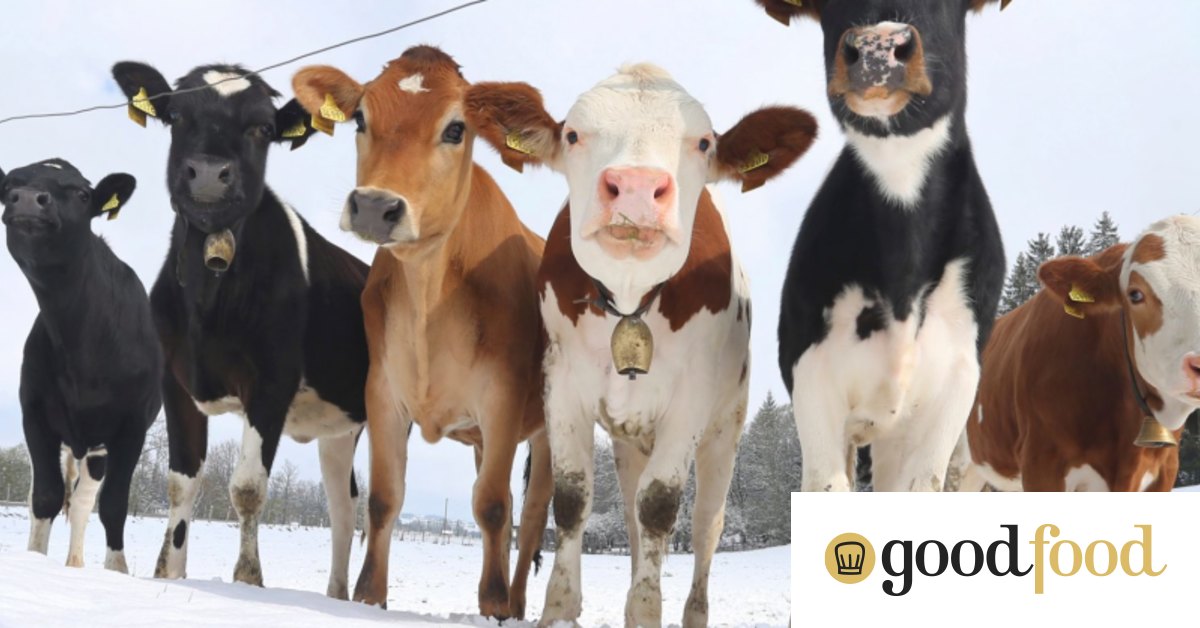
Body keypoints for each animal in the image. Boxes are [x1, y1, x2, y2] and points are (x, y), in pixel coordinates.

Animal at [2, 159, 160, 573]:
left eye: (82, 194)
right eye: (9, 185)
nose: (27, 199)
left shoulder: (129, 426)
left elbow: (112, 505)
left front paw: (115, 571)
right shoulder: (35, 413)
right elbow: (45, 497)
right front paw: (35, 562)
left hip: (96, 446)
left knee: (84, 503)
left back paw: (76, 563)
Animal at [110, 62, 369, 597]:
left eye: (263, 129)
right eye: (176, 115)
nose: (210, 172)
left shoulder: (271, 382)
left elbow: (247, 487)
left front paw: (248, 579)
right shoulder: (176, 382)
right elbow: (182, 481)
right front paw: (169, 571)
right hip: (339, 428)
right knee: (344, 506)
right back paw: (336, 594)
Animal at [291, 46, 553, 619]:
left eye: (456, 129)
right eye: (360, 119)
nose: (375, 206)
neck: (431, 293)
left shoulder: (502, 397)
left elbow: (493, 505)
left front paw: (494, 608)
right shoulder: (383, 392)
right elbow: (385, 498)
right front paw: (369, 597)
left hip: (552, 428)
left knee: (534, 513)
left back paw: (519, 604)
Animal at [466, 65, 817, 627]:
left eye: (703, 142)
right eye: (572, 134)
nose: (634, 188)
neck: (631, 300)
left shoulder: (691, 401)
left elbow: (660, 505)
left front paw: (647, 610)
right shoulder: (561, 385)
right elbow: (573, 498)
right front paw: (560, 608)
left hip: (725, 431)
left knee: (705, 525)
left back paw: (694, 611)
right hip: (629, 440)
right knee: (631, 520)